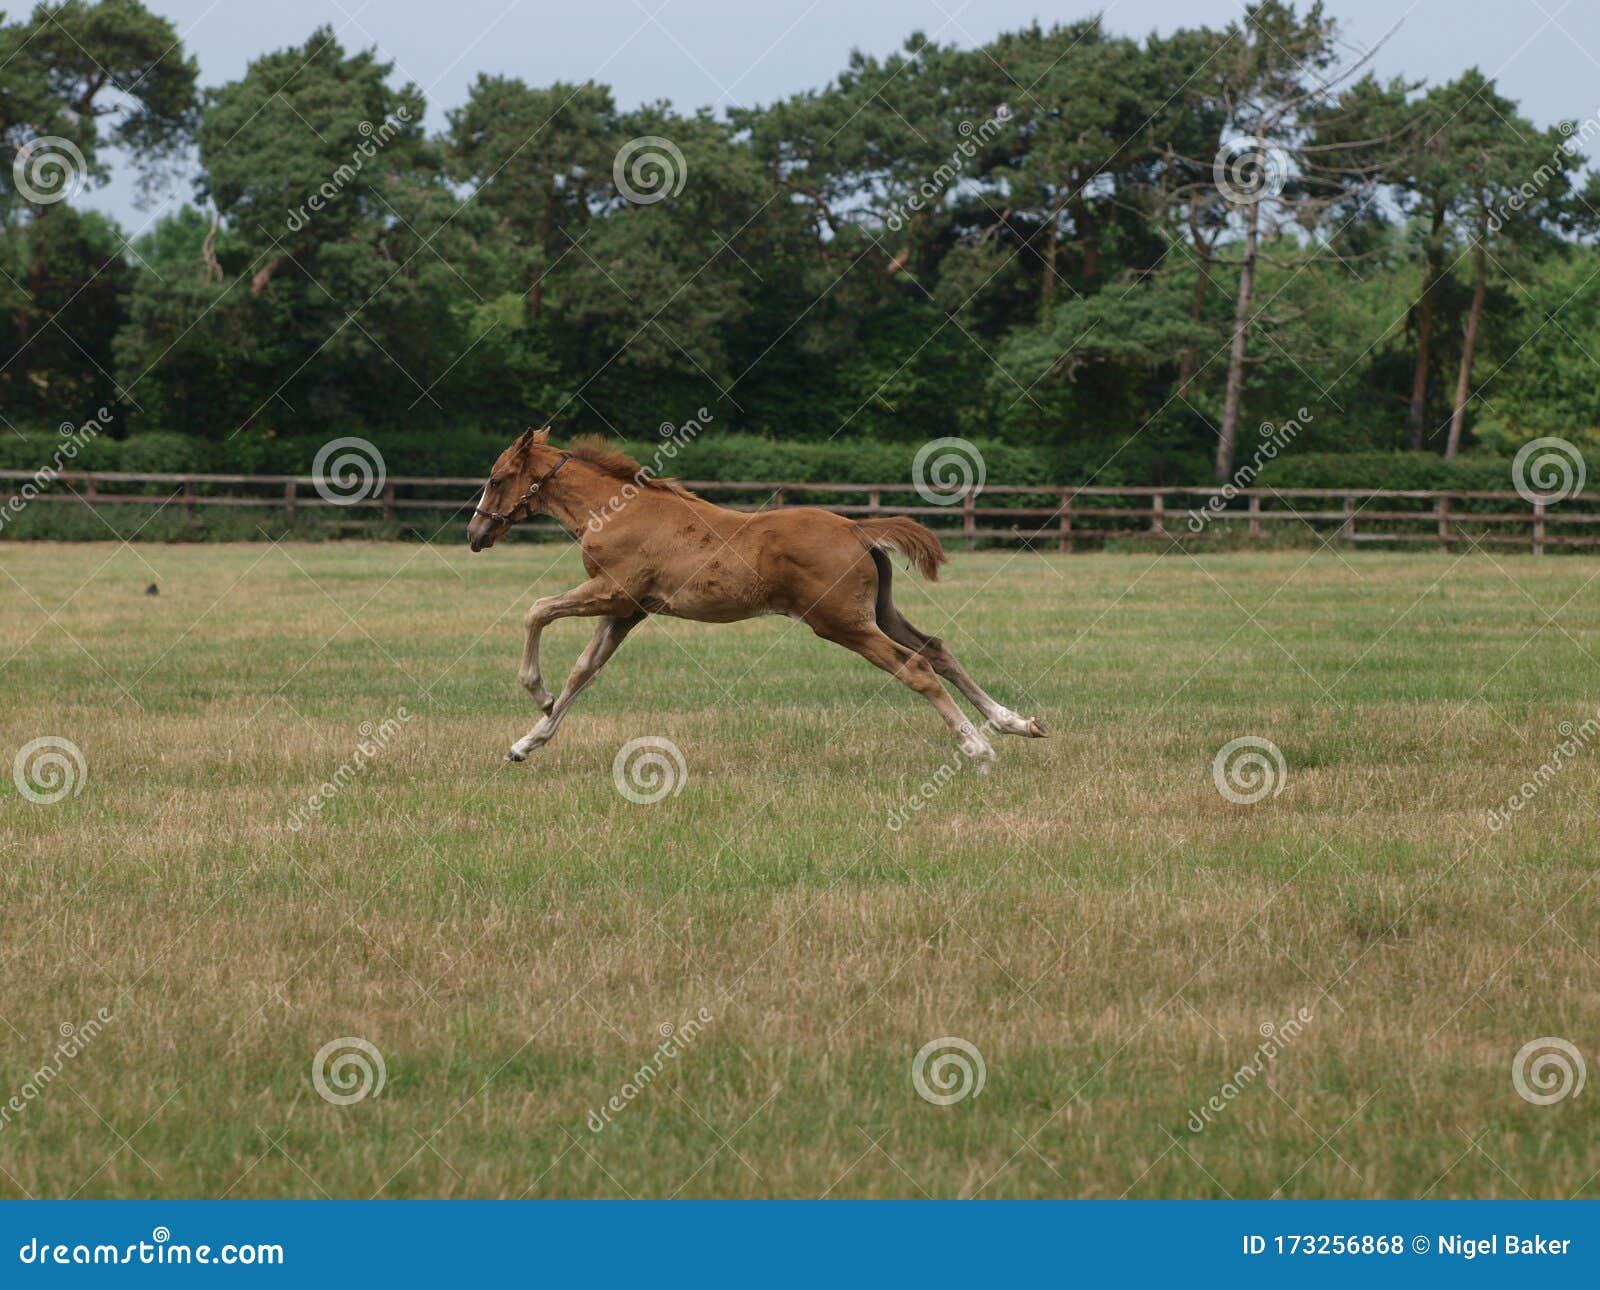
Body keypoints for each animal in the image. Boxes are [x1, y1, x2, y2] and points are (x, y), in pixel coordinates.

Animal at [466, 427, 1046, 766]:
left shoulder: (611, 591)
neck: (617, 509)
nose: (475, 535)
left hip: (840, 622)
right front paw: (526, 742)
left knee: (915, 666)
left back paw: (978, 747)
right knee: (937, 649)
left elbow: (536, 611)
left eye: (496, 479)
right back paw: (1014, 722)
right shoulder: (628, 611)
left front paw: (535, 692)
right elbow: (583, 673)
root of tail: (856, 529)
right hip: (876, 611)